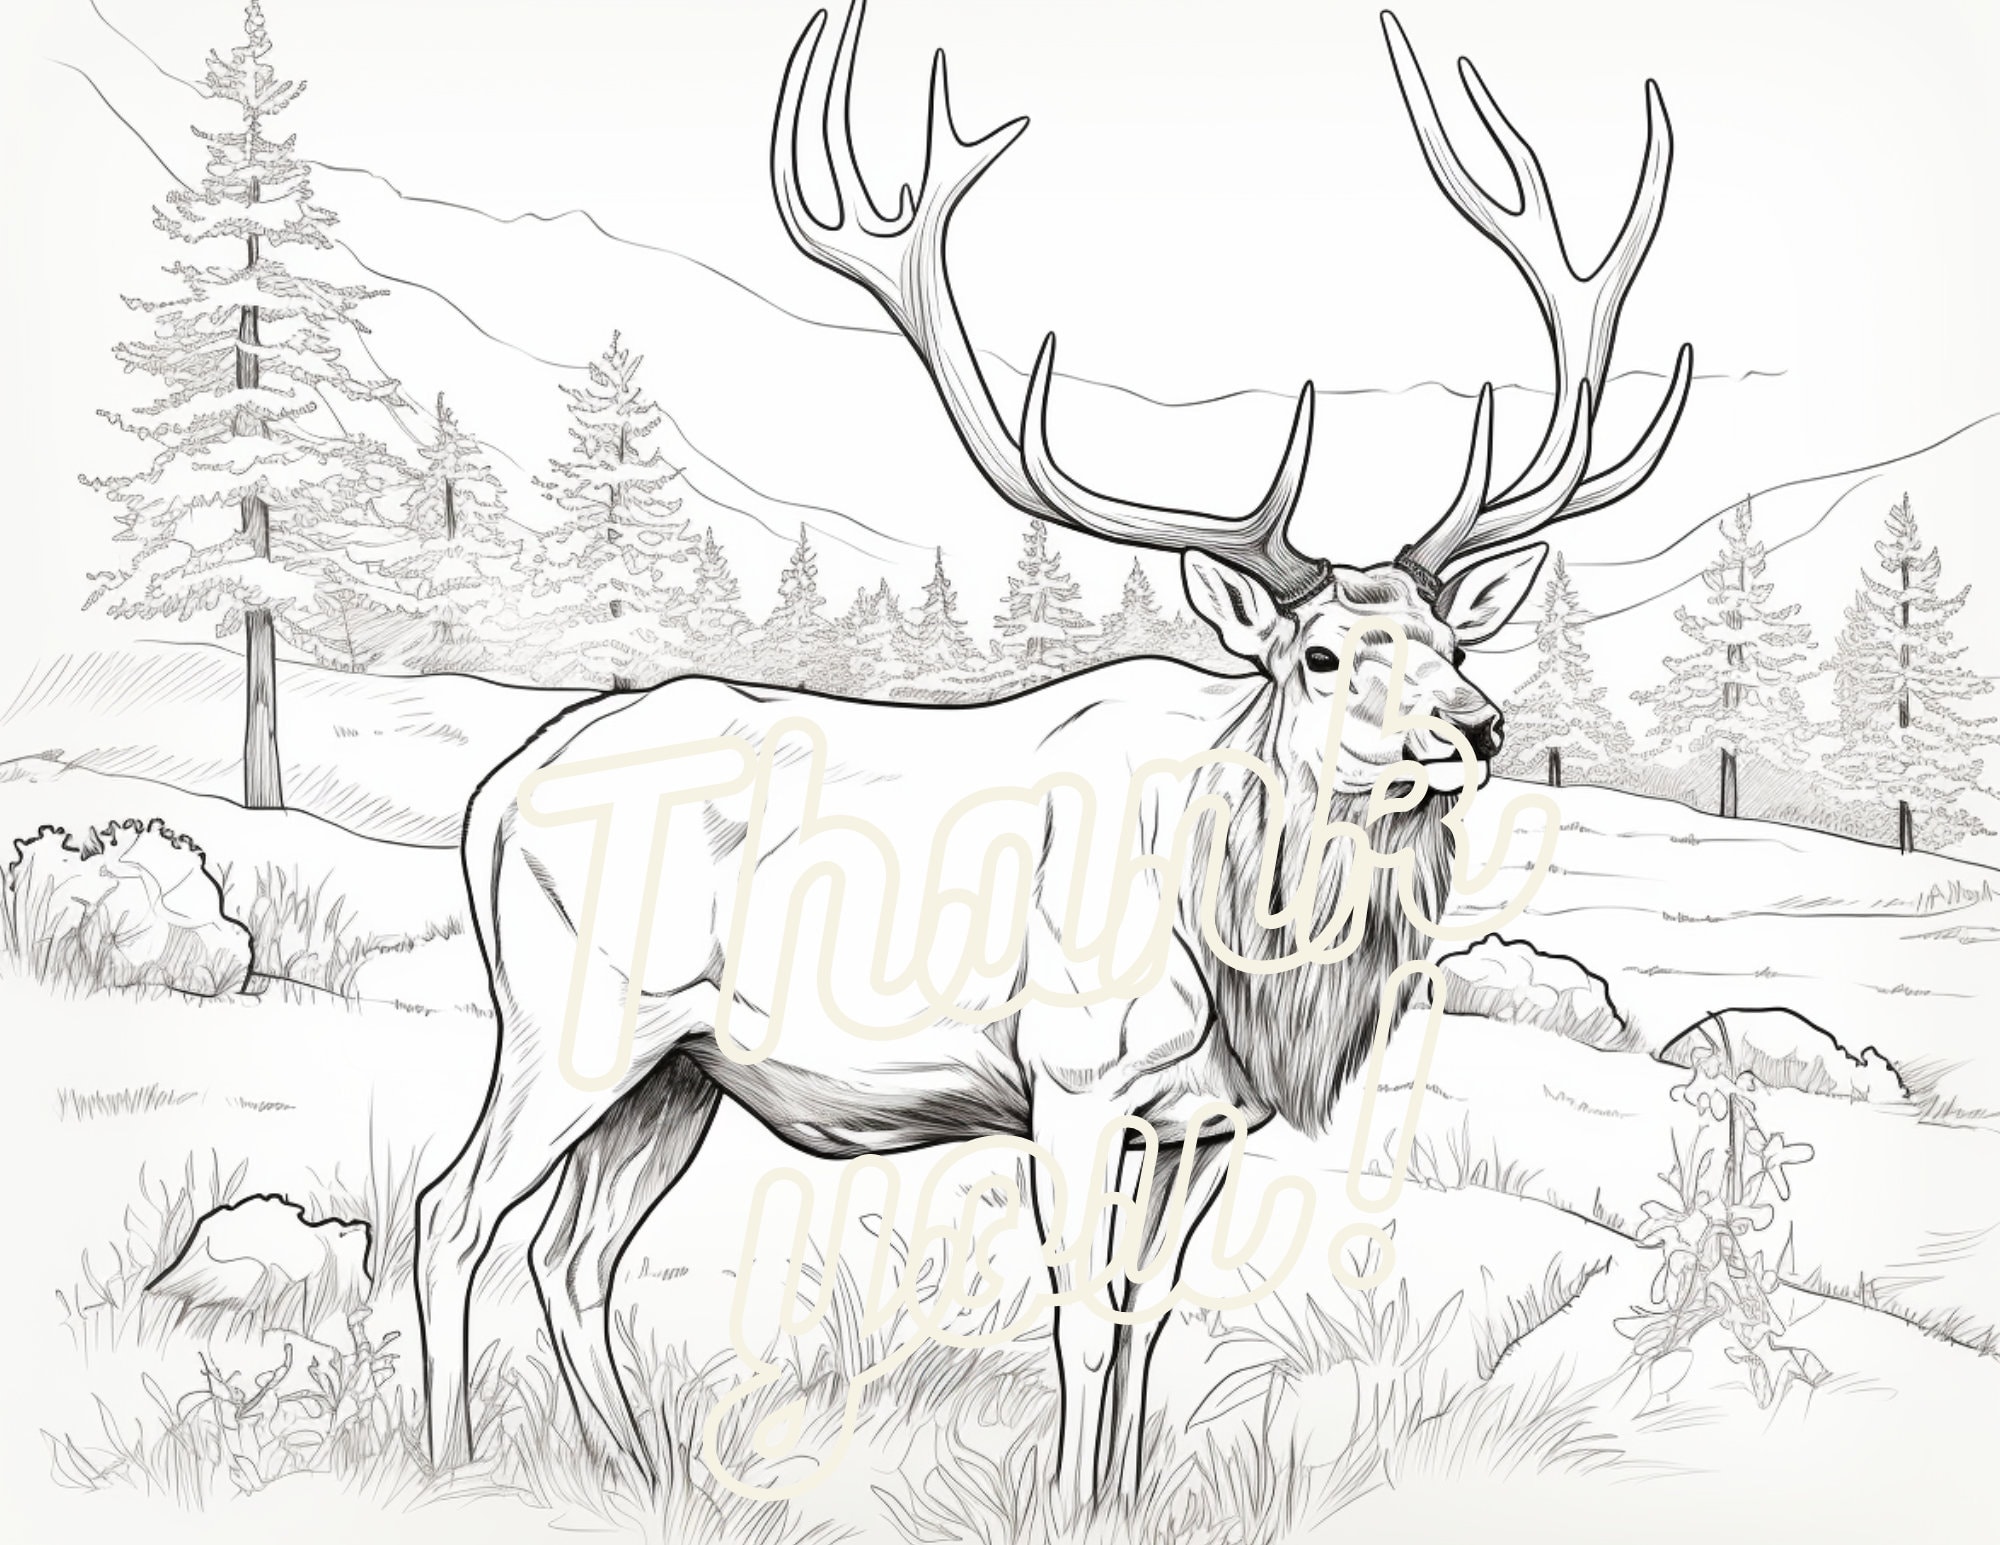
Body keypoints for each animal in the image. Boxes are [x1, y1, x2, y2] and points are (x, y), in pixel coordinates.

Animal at [415, 0, 1690, 1513]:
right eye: (1317, 657)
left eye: (1449, 637)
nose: (1482, 727)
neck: (1243, 957)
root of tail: (495, 793)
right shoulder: (1071, 1081)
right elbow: (1079, 1314)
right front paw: (1073, 1501)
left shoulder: (1201, 1122)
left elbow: (1149, 1314)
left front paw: (1124, 1496)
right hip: (571, 1019)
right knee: (450, 1214)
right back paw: (446, 1461)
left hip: (677, 1069)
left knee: (574, 1251)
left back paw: (655, 1473)